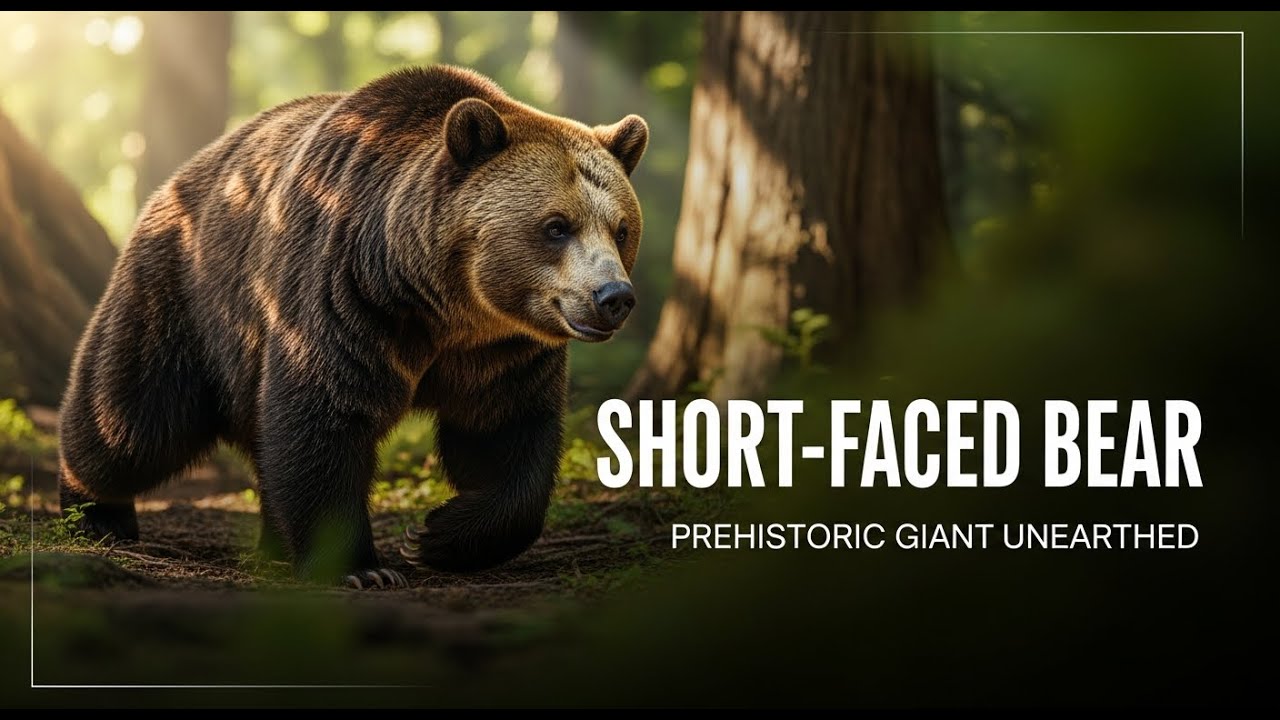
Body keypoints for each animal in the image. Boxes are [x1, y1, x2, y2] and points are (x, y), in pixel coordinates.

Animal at [57, 66, 647, 589]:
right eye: (556, 226)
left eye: (620, 228)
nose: (613, 297)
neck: (444, 304)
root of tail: (175, 179)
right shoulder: (344, 295)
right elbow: (323, 416)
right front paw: (363, 567)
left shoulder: (503, 349)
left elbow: (504, 433)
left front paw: (436, 535)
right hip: (185, 297)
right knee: (132, 419)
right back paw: (93, 514)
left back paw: (272, 547)